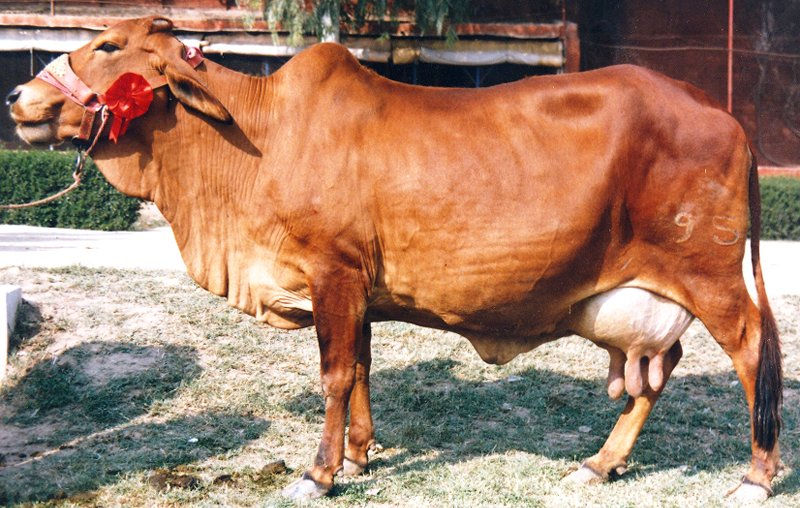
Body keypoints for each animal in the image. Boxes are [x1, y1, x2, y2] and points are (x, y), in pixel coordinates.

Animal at [6, 17, 782, 502]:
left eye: (108, 44)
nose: (19, 93)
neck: (254, 138)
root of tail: (719, 110)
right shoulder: (357, 291)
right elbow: (361, 369)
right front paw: (358, 453)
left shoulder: (334, 272)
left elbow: (334, 374)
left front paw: (319, 473)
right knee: (660, 369)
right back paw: (599, 464)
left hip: (709, 275)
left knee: (751, 349)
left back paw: (756, 477)